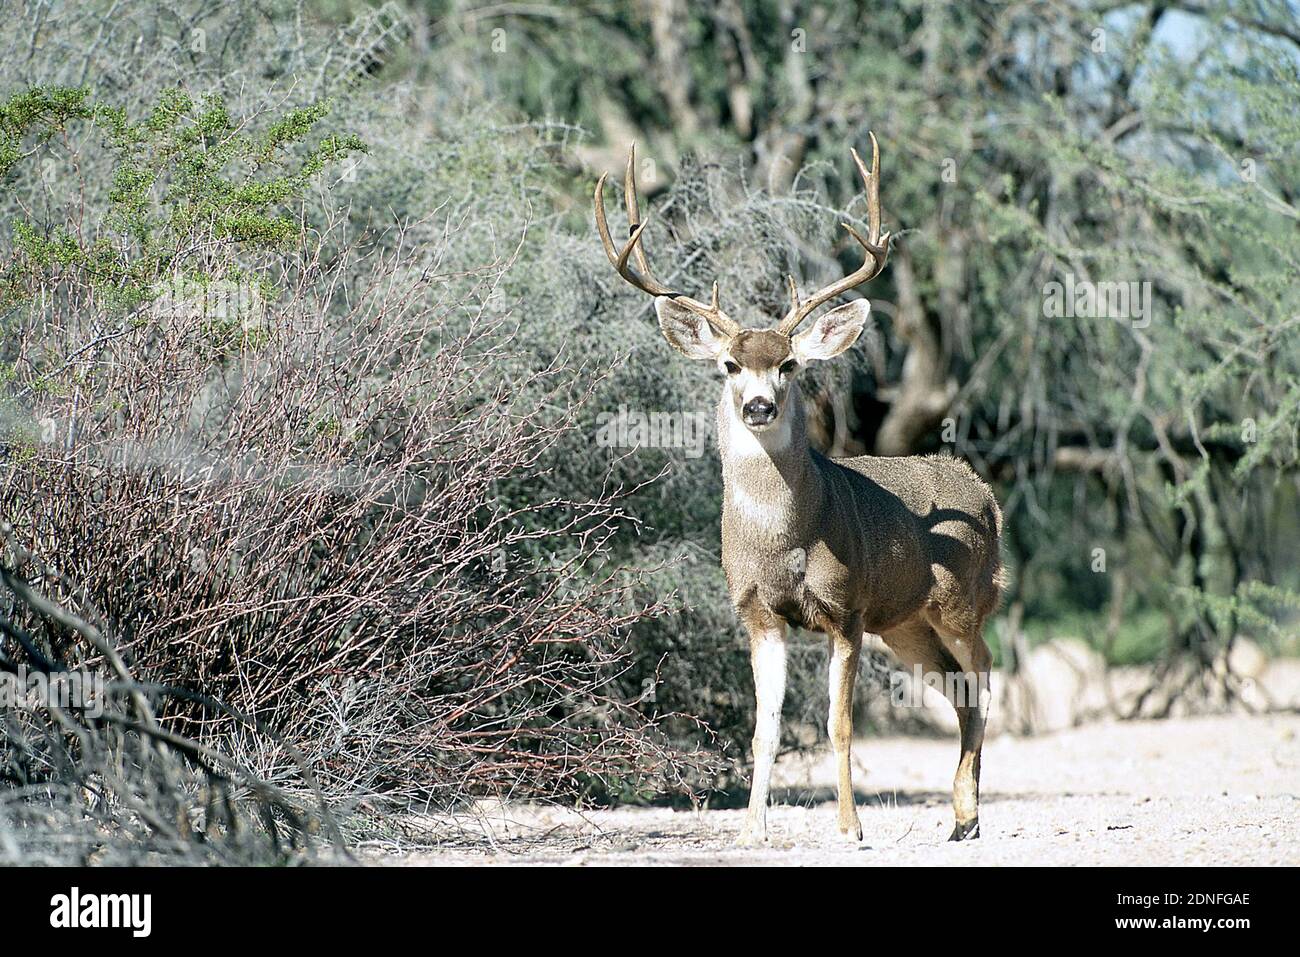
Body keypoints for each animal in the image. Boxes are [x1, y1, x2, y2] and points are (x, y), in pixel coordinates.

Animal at [595, 134, 1006, 845]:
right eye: (730, 364)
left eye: (788, 363)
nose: (759, 405)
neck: (782, 540)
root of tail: (985, 494)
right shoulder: (759, 613)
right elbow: (765, 730)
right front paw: (751, 829)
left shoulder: (846, 610)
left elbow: (840, 725)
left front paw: (849, 827)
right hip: (906, 625)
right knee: (956, 687)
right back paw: (960, 818)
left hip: (963, 603)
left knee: (982, 679)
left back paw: (968, 816)